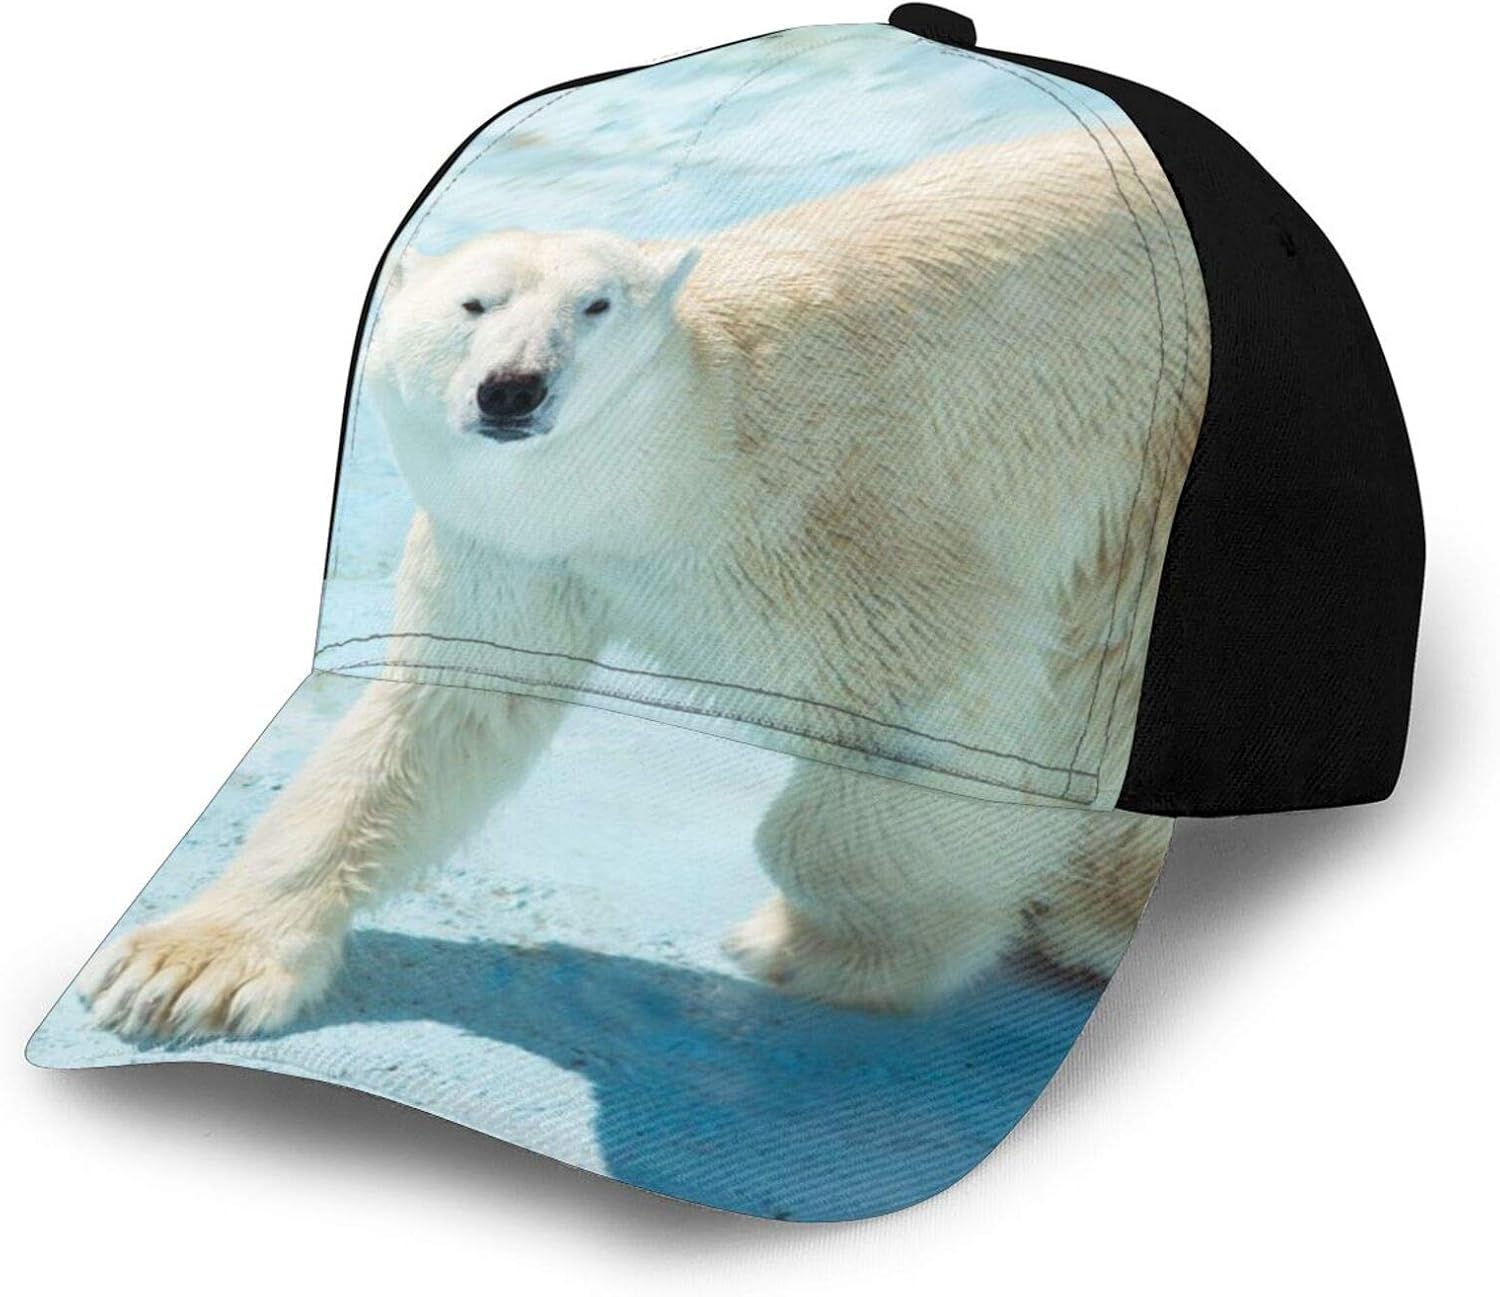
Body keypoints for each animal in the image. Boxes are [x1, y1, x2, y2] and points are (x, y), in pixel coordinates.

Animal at [80, 124, 1205, 1039]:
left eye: (596, 304)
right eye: (474, 302)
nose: (513, 388)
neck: (678, 461)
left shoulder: (850, 510)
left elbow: (959, 707)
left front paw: (813, 945)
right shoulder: (515, 551)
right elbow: (439, 715)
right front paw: (181, 968)